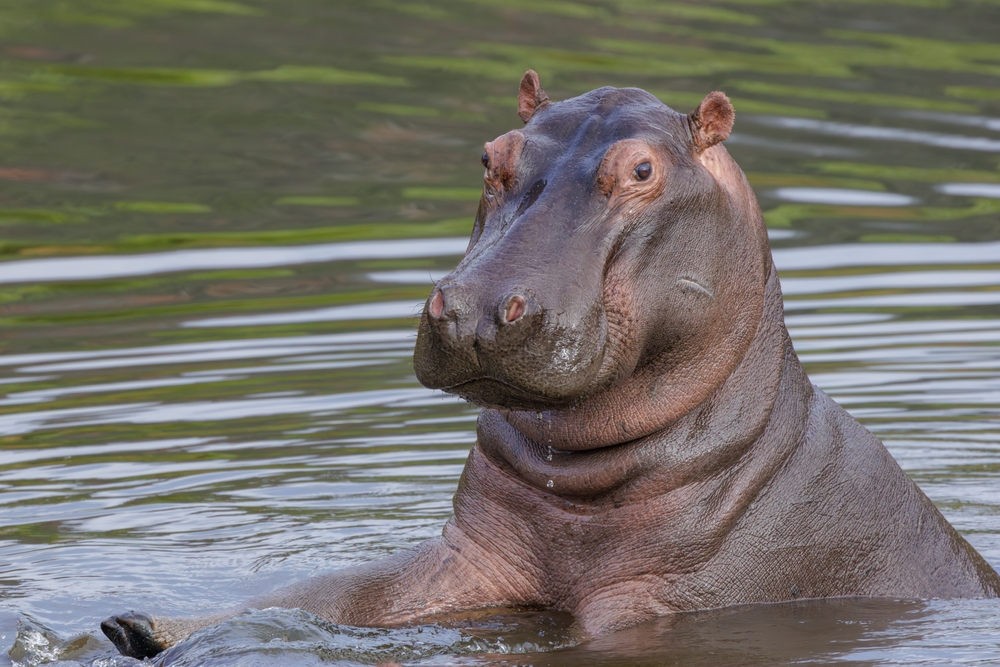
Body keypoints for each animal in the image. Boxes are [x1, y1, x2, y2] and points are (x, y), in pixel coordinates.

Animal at [102, 71, 1000, 659]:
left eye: (642, 169)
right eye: (490, 153)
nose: (472, 308)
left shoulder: (658, 601)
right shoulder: (470, 556)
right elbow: (327, 594)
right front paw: (138, 627)